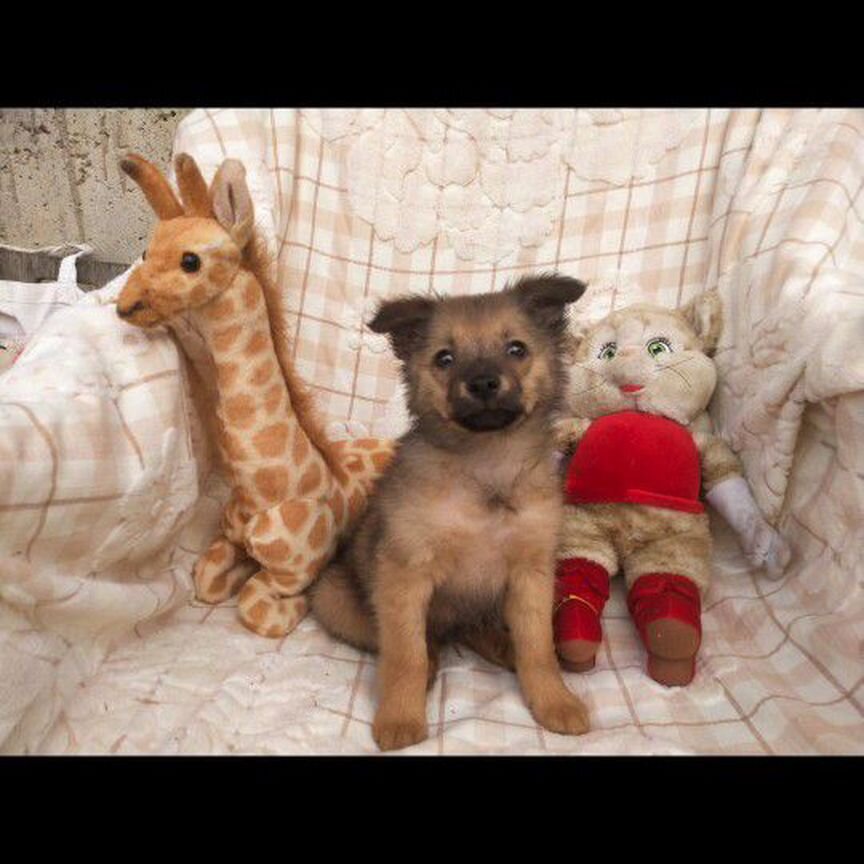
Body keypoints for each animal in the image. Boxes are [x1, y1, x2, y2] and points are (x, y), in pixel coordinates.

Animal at [309, 273, 591, 751]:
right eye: (444, 358)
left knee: (472, 628)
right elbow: (405, 655)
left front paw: (555, 701)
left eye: (517, 349)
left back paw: (502, 646)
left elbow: (539, 648)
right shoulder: (404, 575)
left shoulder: (531, 575)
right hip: (333, 598)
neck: (485, 467)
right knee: (418, 642)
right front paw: (400, 717)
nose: (482, 383)